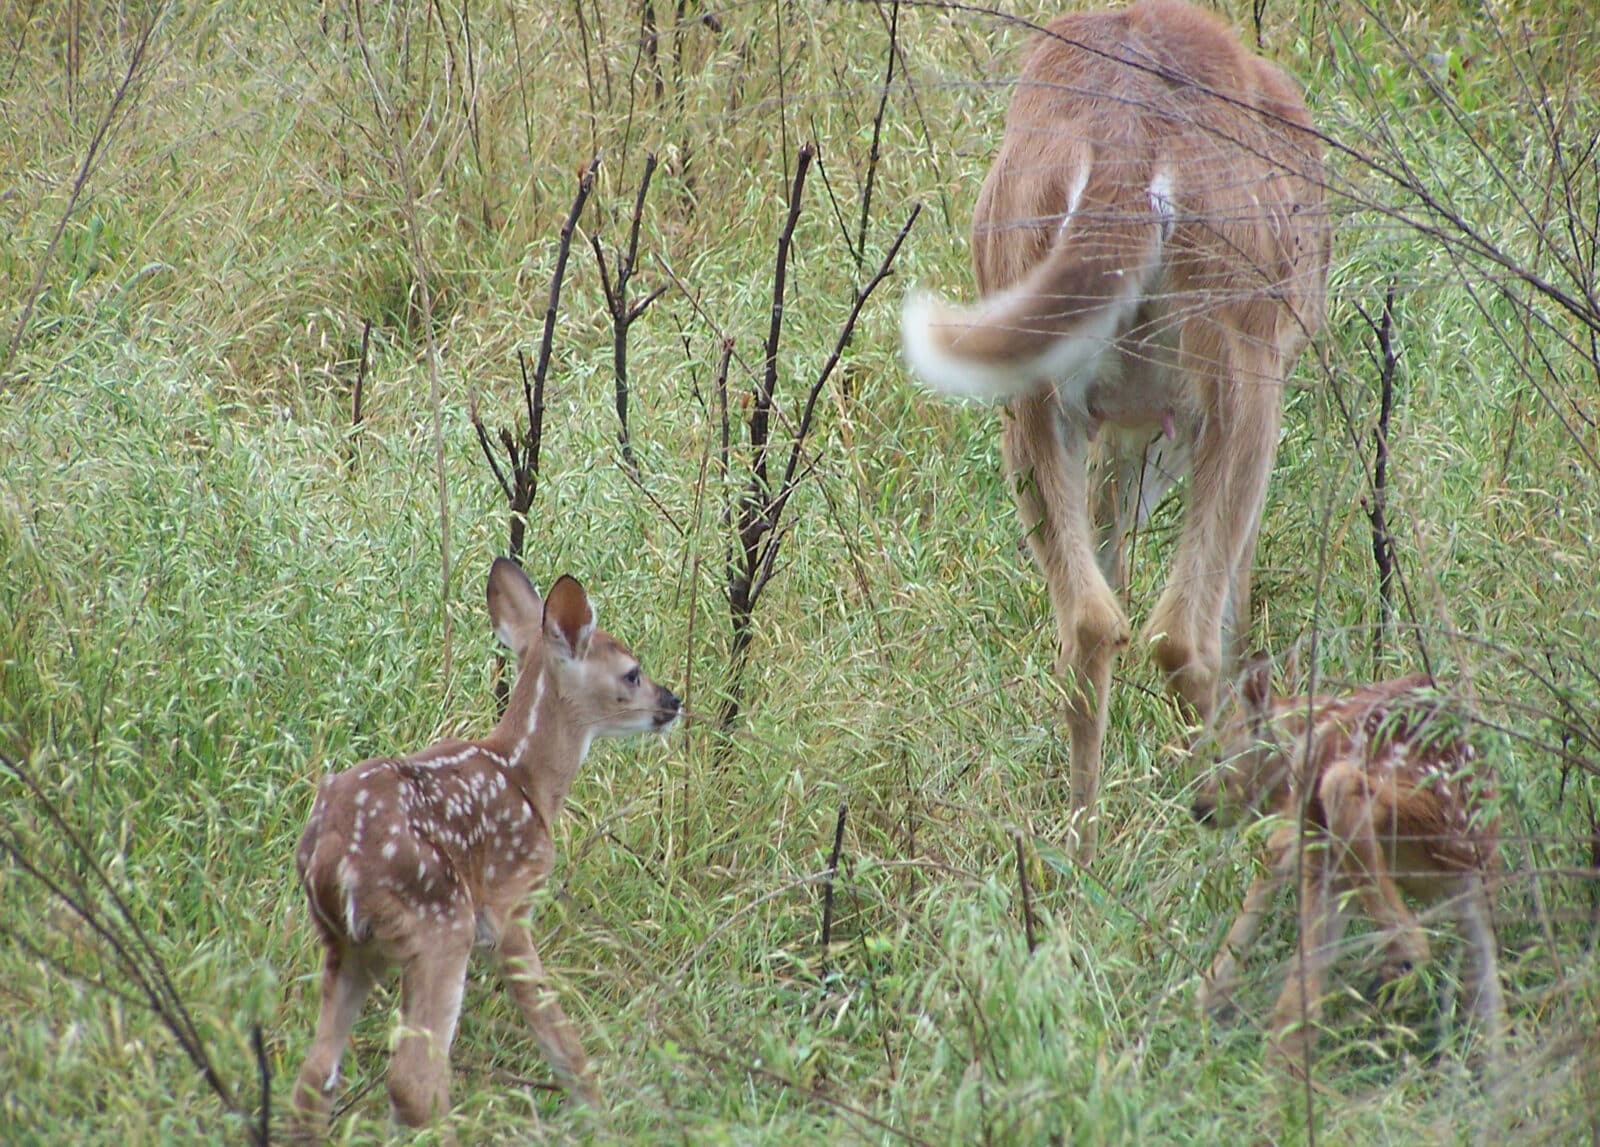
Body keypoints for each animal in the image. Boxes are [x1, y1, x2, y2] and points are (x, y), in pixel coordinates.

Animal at [289, 558, 681, 1136]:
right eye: (632, 671)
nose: (672, 701)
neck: (529, 781)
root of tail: (330, 861)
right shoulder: (507, 906)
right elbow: (559, 1035)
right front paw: (601, 1115)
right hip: (439, 923)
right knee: (414, 1080)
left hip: (347, 946)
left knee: (315, 1077)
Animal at [900, 0, 1330, 861]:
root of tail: (1129, 153)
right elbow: (1235, 589)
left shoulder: (1124, 424)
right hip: (1240, 367)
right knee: (1182, 635)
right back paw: (1226, 821)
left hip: (1033, 384)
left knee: (1090, 622)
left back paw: (1081, 851)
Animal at [1190, 655, 1506, 1071]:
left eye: (1219, 754)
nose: (1199, 807)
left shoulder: (1302, 823)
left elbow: (1271, 861)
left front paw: (1206, 995)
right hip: (1470, 877)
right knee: (1490, 997)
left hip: (1403, 813)